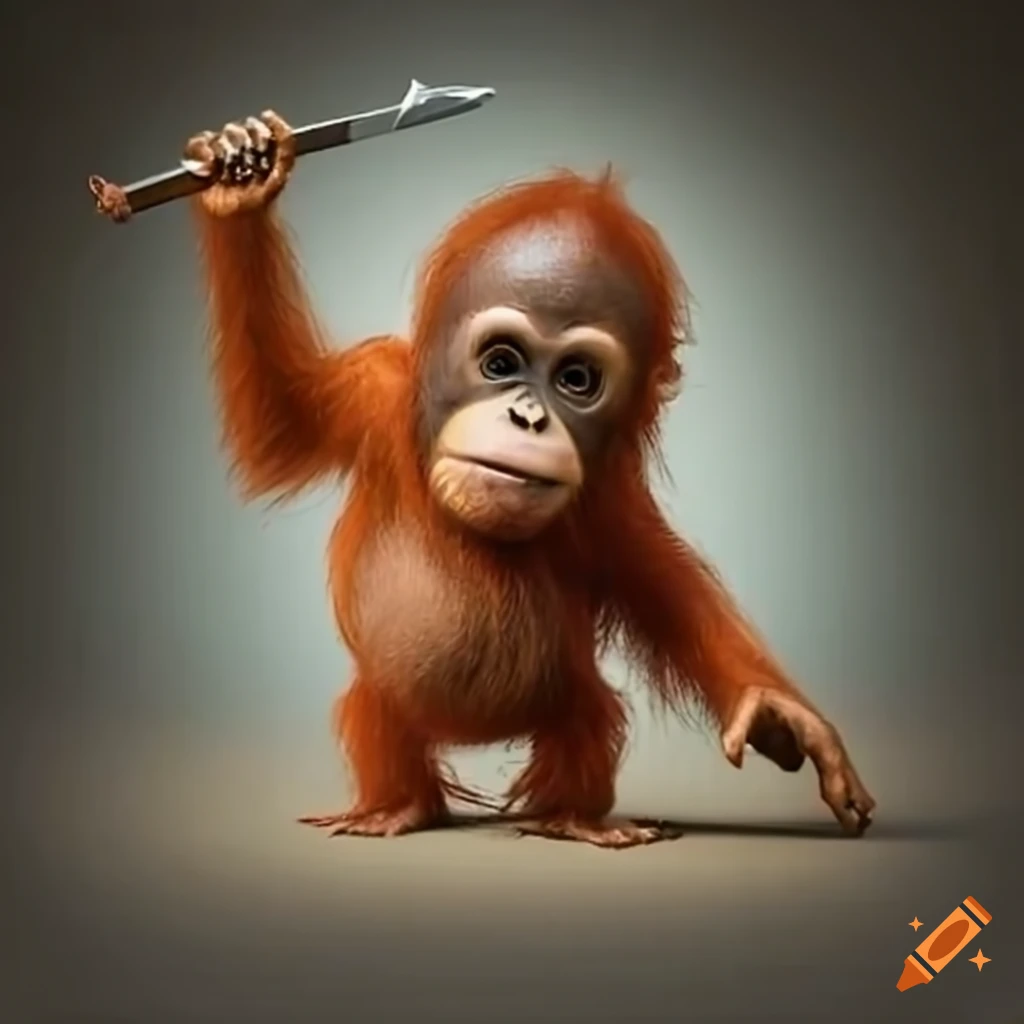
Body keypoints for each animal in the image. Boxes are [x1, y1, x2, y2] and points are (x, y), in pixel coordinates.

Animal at [181, 109, 876, 848]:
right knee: (375, 711)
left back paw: (574, 820)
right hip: (387, 696)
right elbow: (281, 420)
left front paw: (776, 712)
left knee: (590, 715)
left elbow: (665, 586)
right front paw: (240, 183)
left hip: (566, 703)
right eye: (501, 362)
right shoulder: (372, 392)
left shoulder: (611, 500)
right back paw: (396, 809)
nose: (528, 416)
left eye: (576, 379)